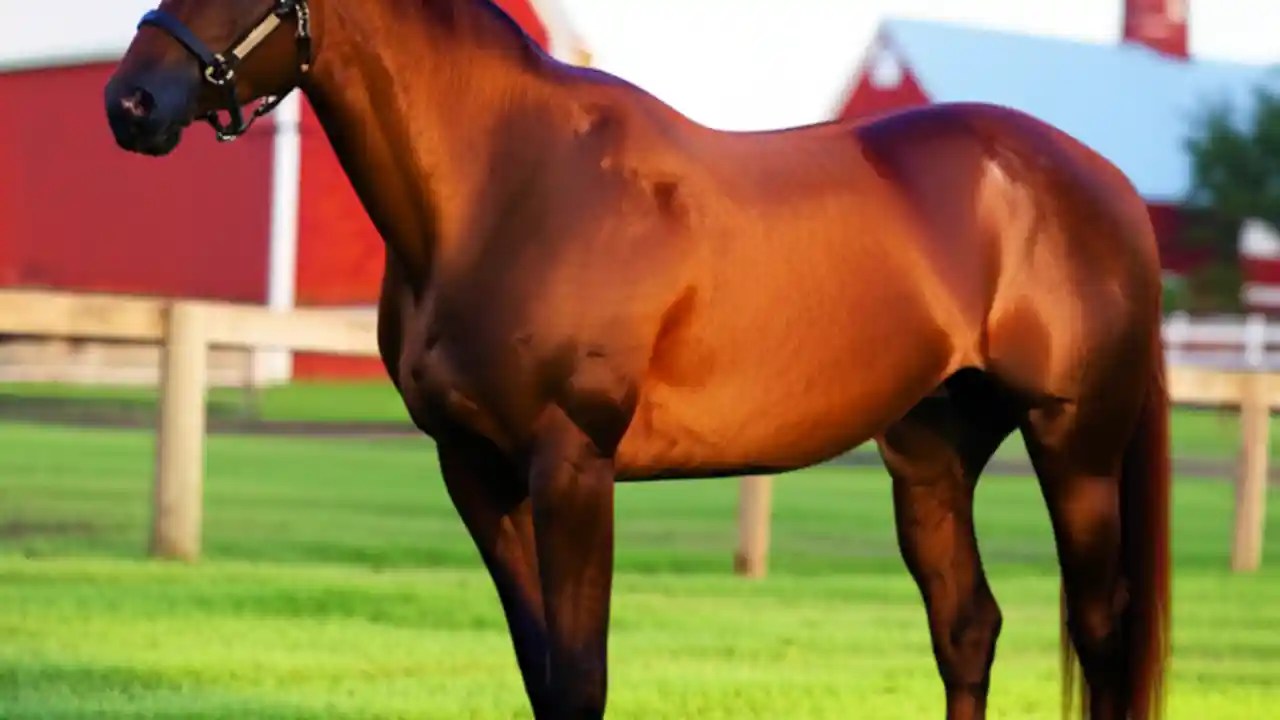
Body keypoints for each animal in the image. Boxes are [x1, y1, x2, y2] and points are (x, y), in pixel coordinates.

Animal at [104, 1, 1170, 717]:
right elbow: (541, 672)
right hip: (932, 454)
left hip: (1074, 445)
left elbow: (582, 678)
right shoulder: (474, 471)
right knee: (967, 627)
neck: (506, 187)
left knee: (1102, 631)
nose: (131, 102)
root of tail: (1104, 183)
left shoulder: (574, 464)